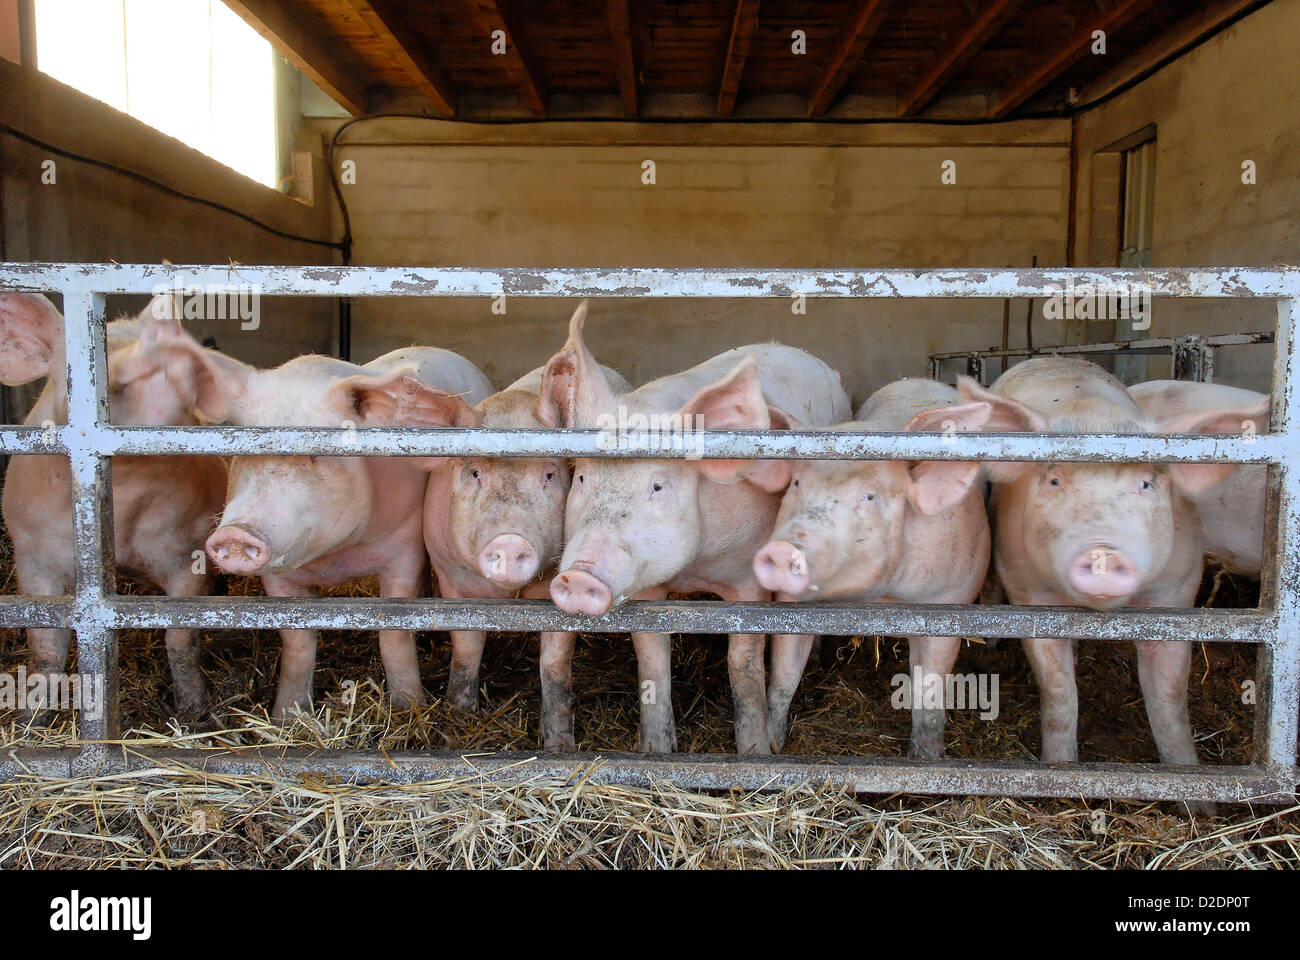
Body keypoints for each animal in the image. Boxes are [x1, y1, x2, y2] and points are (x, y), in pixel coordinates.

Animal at [0, 292, 227, 716]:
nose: (163, 337)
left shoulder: (188, 552)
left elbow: (181, 639)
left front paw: (194, 713)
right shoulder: (33, 556)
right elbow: (45, 647)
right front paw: (30, 718)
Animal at [131, 323, 494, 717]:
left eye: (318, 451)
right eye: (242, 448)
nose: (236, 534)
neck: (335, 559)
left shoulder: (405, 545)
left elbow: (393, 635)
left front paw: (410, 708)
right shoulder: (277, 577)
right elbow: (297, 643)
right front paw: (286, 715)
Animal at [387, 327, 632, 749]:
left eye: (549, 474)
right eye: (474, 472)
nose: (510, 541)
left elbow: (554, 663)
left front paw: (559, 746)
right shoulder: (451, 575)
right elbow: (466, 647)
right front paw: (458, 714)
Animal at [545, 307, 852, 754]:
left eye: (657, 486)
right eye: (582, 478)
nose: (578, 576)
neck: (693, 571)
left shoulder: (749, 579)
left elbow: (743, 665)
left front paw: (755, 753)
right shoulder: (648, 588)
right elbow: (652, 661)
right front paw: (655, 751)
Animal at [752, 379, 993, 757]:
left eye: (868, 496)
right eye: (796, 484)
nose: (780, 550)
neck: (880, 596)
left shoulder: (953, 600)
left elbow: (929, 696)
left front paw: (927, 759)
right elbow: (782, 677)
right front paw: (775, 747)